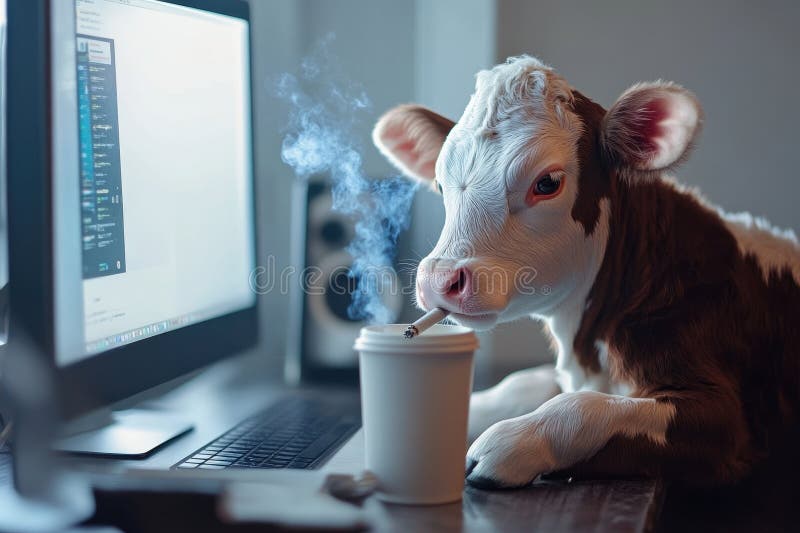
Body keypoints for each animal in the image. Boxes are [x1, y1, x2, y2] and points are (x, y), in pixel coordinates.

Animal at [372, 55, 800, 489]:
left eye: (547, 183)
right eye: (441, 185)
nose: (438, 281)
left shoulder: (728, 420)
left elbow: (585, 407)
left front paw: (509, 442)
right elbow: (526, 382)